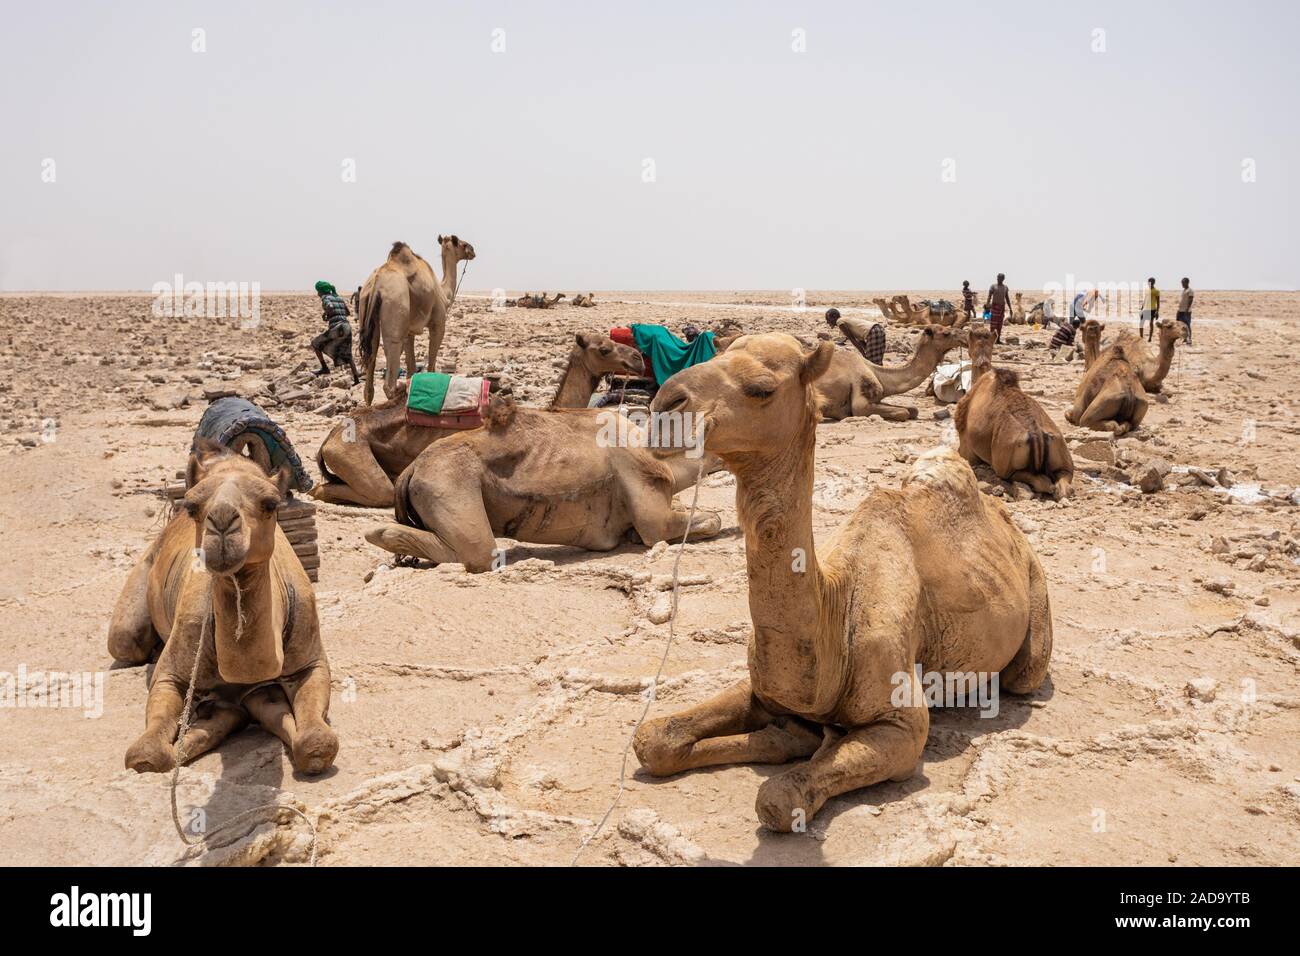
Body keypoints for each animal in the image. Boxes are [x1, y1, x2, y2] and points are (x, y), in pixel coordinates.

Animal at [108, 441, 336, 775]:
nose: (223, 522)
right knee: (125, 640)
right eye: (192, 507)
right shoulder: (173, 672)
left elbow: (316, 741)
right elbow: (147, 753)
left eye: (271, 504)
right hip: (135, 600)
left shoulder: (309, 662)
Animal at [358, 236, 476, 405]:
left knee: (371, 358)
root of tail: (377, 284)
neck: (443, 294)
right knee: (390, 370)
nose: (472, 250)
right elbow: (431, 361)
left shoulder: (409, 330)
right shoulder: (438, 324)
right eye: (462, 243)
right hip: (395, 303)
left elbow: (411, 367)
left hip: (365, 308)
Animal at [363, 400, 723, 571]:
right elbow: (689, 523)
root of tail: (411, 470)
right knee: (476, 552)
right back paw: (381, 535)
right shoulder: (642, 487)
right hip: (447, 483)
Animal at [814, 324, 965, 421]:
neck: (878, 374)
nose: (963, 336)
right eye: (945, 333)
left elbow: (913, 410)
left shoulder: (878, 399)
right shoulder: (861, 404)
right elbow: (903, 412)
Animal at [955, 326, 1074, 500]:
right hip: (1063, 458)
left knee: (1033, 480)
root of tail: (1038, 434)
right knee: (1063, 482)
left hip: (1004, 463)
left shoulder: (966, 450)